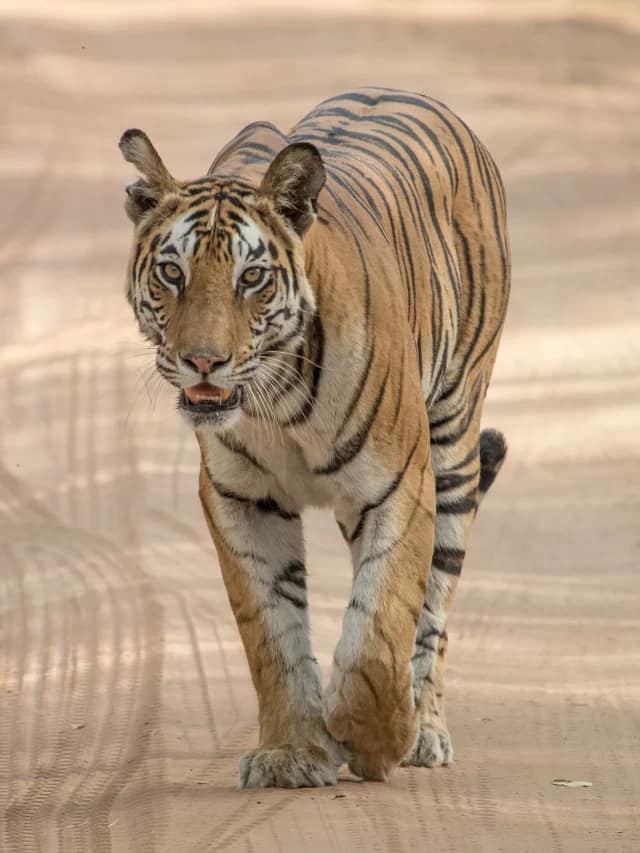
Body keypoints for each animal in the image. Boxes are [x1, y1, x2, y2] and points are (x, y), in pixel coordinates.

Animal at [119, 86, 510, 788]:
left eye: (251, 278)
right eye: (171, 272)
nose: (203, 361)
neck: (276, 401)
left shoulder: (400, 485)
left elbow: (382, 624)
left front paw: (376, 740)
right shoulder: (240, 498)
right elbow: (271, 632)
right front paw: (292, 753)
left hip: (455, 441)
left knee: (432, 610)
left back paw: (425, 732)